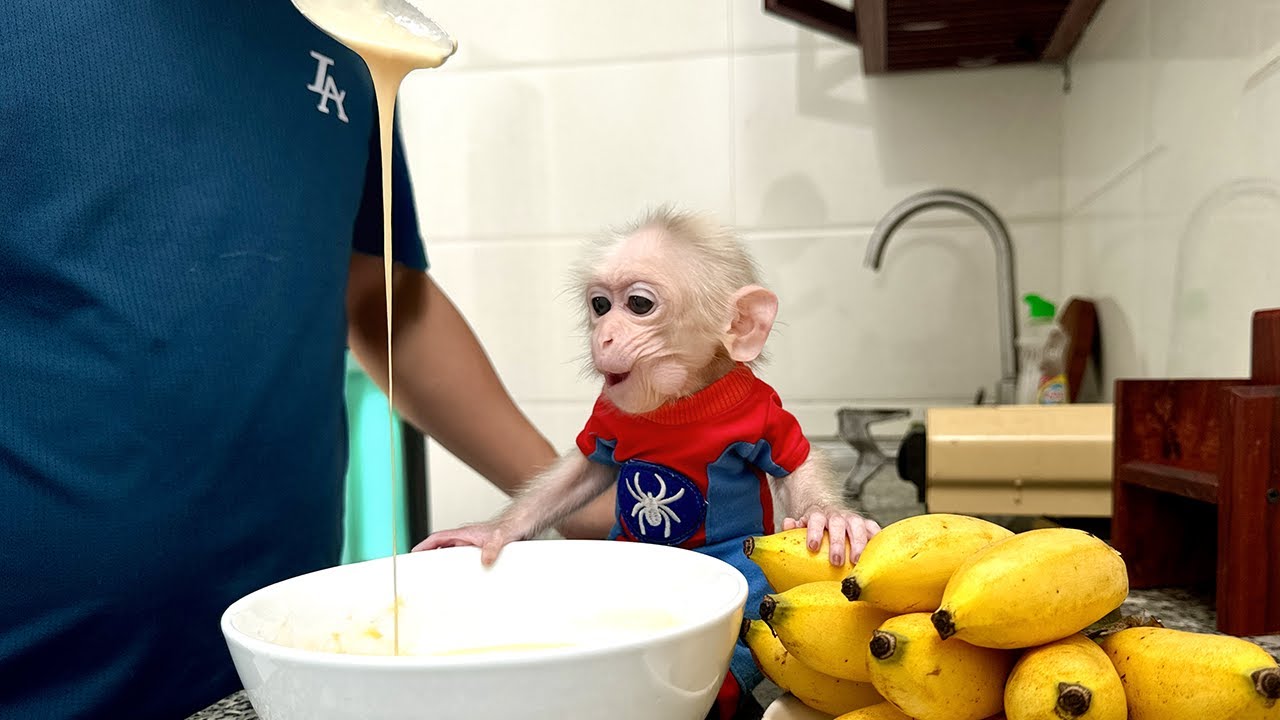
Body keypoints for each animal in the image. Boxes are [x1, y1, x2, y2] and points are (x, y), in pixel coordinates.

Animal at [413, 206, 880, 717]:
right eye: (600, 305)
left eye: (638, 305)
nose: (603, 335)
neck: (678, 404)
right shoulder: (609, 414)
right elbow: (587, 468)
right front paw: (491, 532)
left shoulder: (759, 409)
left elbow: (795, 461)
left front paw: (831, 518)